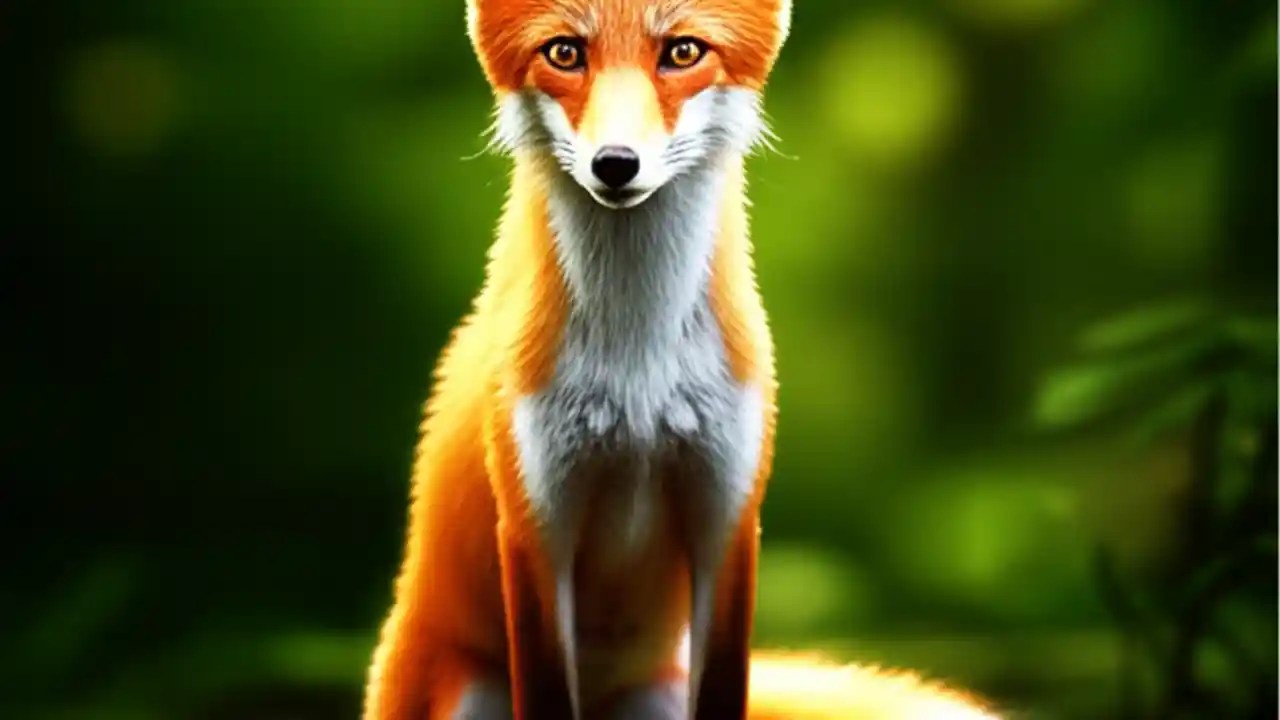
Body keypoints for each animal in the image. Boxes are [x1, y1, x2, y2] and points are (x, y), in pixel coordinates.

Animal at [362, 1, 1001, 718]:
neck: (637, 377)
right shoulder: (535, 526)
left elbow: (724, 683)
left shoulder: (728, 514)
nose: (616, 163)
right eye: (564, 53)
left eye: (683, 51)